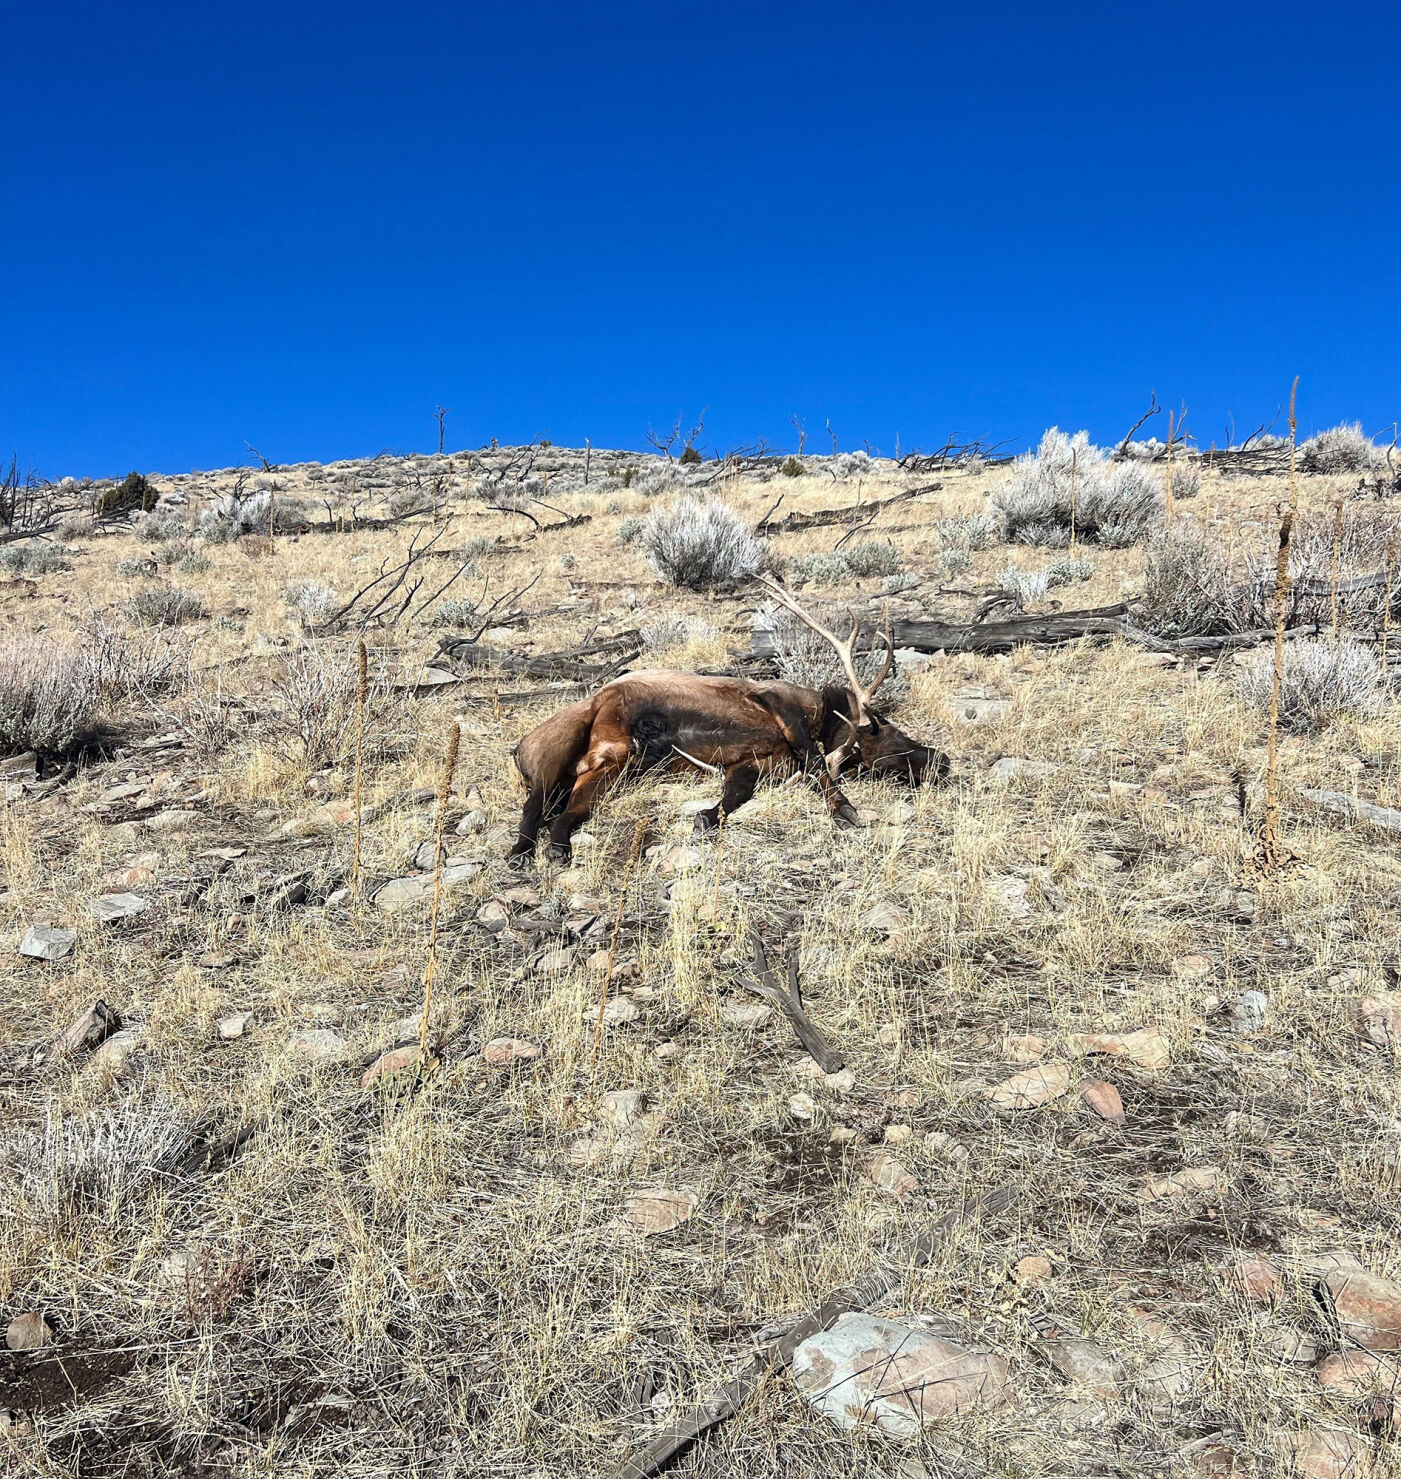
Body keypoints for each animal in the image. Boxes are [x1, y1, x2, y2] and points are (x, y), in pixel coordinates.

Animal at [509, 576, 948, 863]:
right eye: (888, 727)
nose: (941, 759)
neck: (824, 718)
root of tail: (519, 750)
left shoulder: (752, 764)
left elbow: (735, 795)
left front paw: (704, 817)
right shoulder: (777, 703)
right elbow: (815, 761)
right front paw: (844, 808)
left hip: (609, 770)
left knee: (567, 813)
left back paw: (559, 849)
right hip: (563, 745)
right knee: (534, 806)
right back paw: (520, 852)